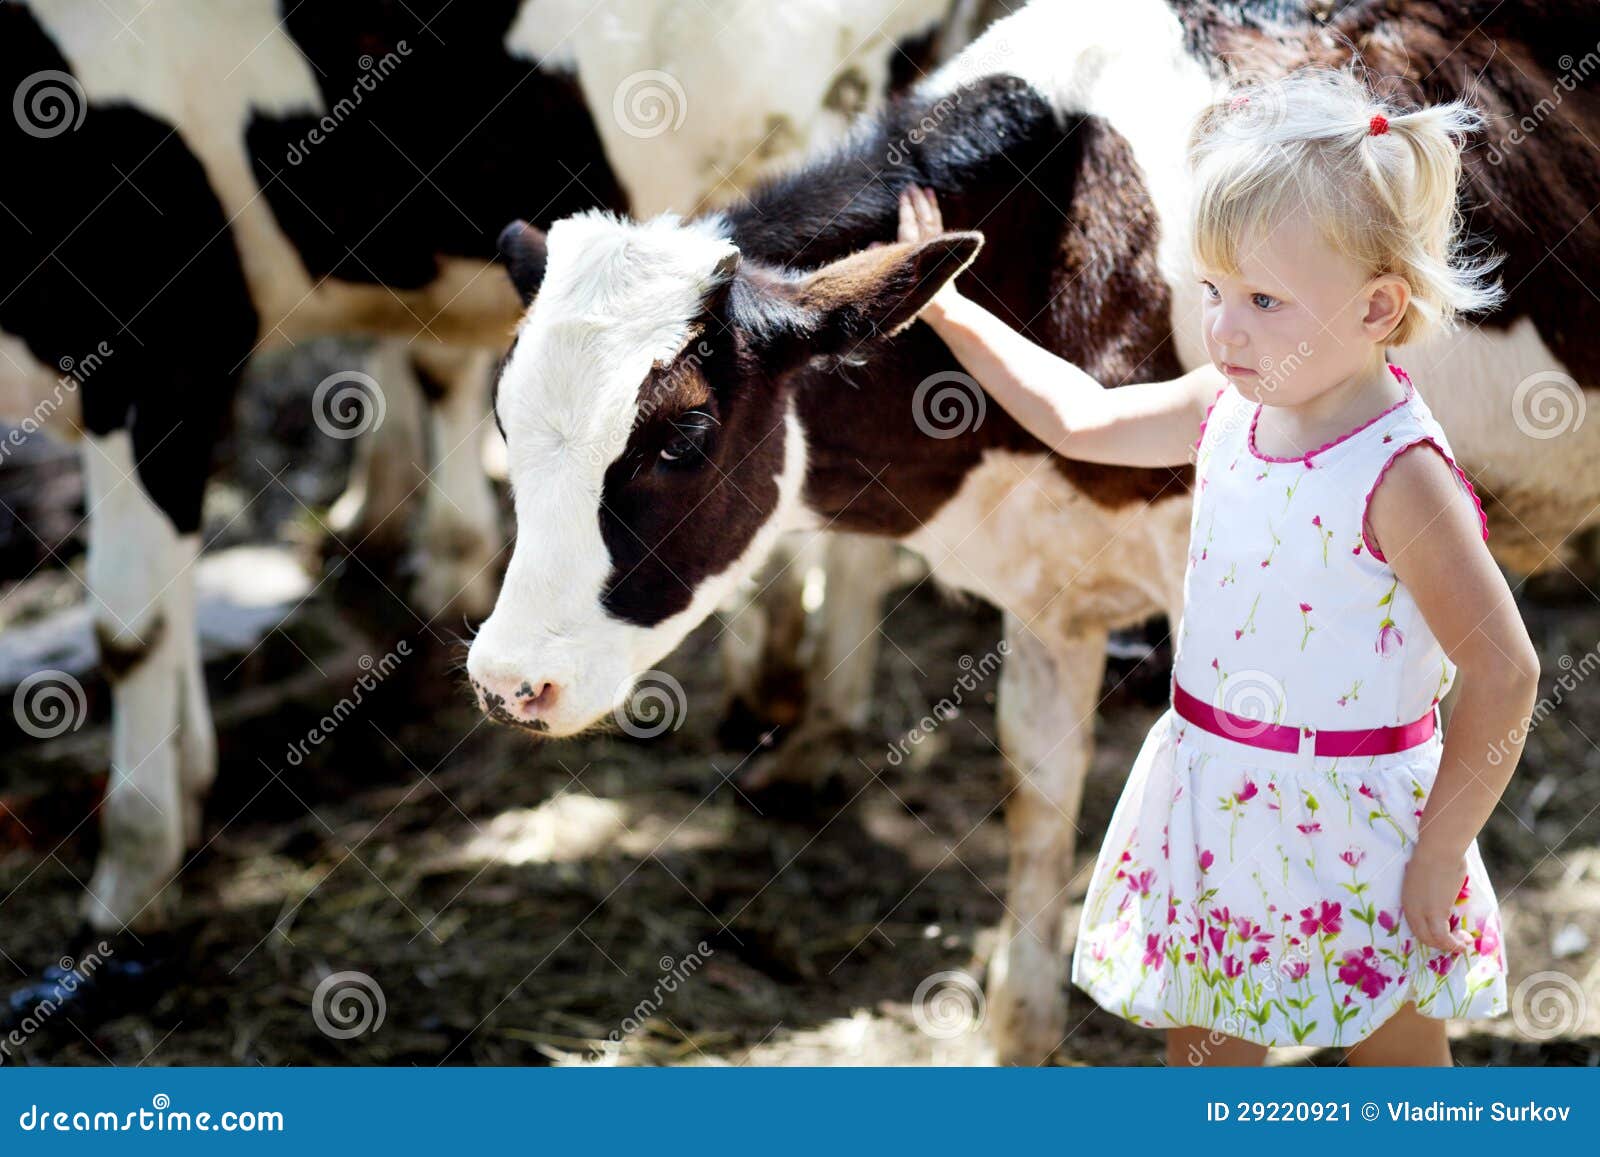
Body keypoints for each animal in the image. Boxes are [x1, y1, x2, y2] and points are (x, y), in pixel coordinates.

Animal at [0, 0, 961, 1018]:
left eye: (678, 439)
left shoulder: (162, 334)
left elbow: (129, 629)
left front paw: (125, 906)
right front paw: (187, 790)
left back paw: (807, 713)